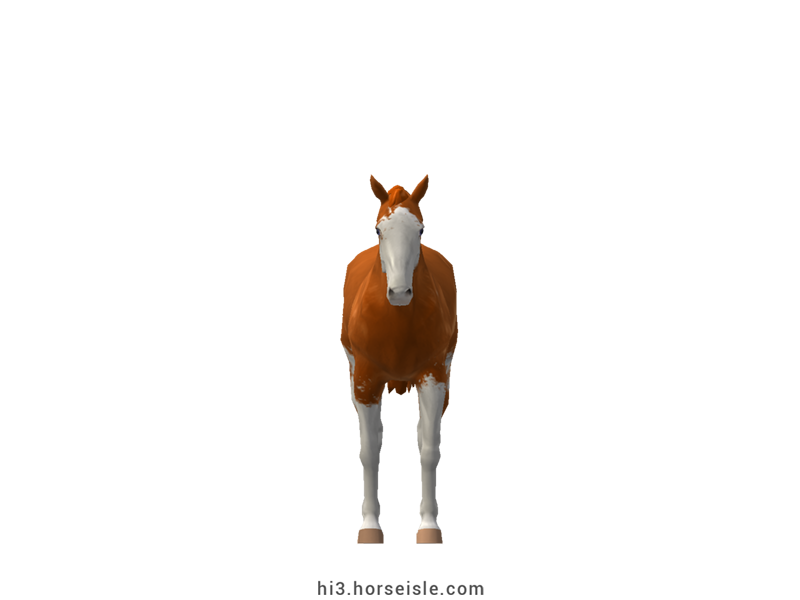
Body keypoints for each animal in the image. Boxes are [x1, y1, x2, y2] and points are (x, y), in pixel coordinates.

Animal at [341, 174, 458, 537]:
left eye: (420, 230)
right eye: (379, 230)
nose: (400, 293)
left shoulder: (435, 376)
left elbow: (428, 449)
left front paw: (429, 526)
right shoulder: (363, 380)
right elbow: (369, 452)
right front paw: (370, 527)